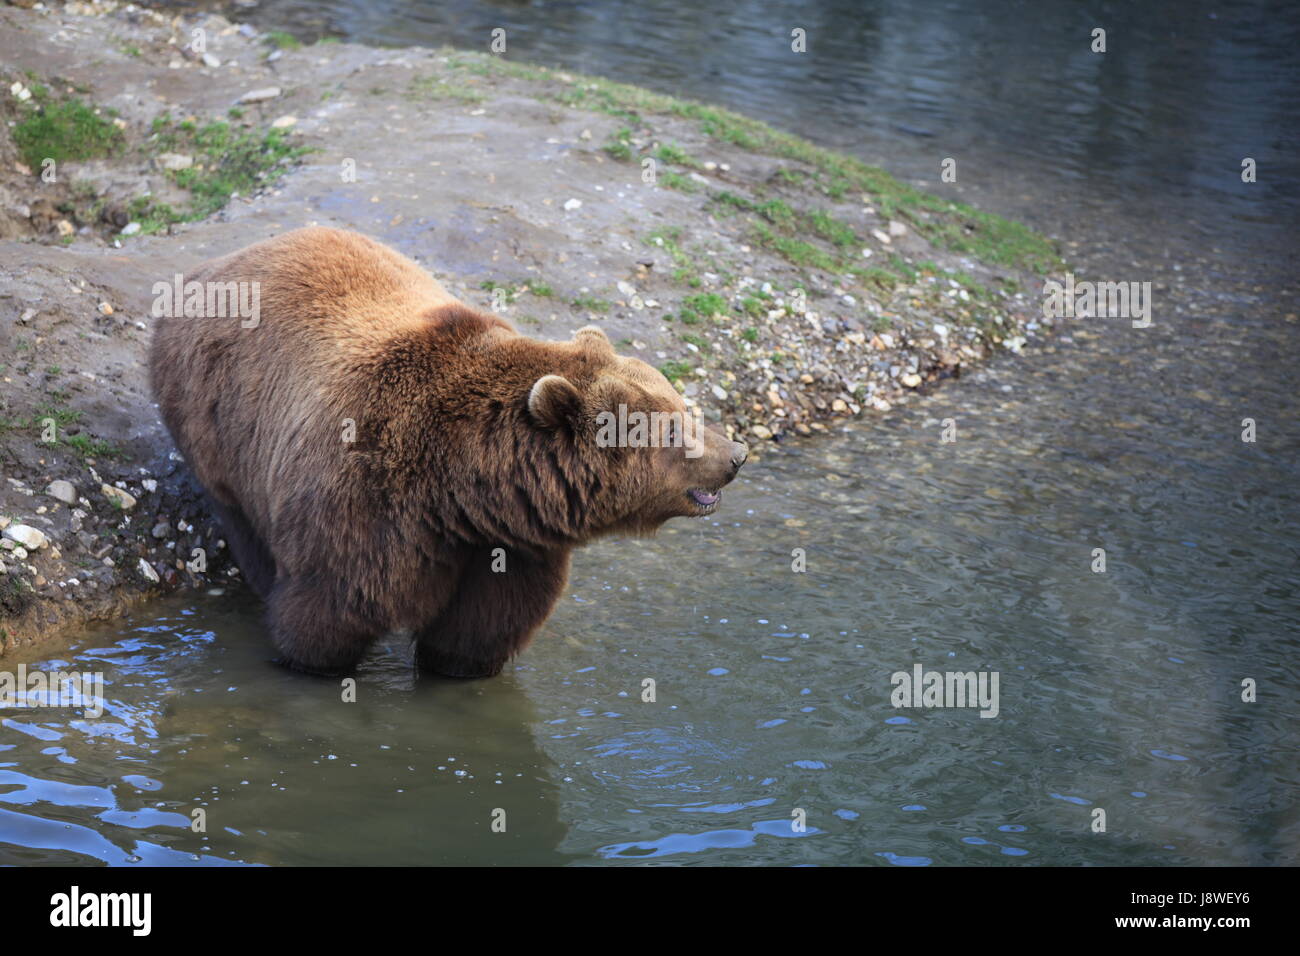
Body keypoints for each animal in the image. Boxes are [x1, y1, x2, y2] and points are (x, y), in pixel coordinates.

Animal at [149, 227, 748, 678]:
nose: (737, 454)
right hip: (214, 422)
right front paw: (307, 662)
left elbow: (475, 638)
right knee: (244, 521)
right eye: (669, 429)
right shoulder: (359, 507)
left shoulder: (511, 549)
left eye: (682, 404)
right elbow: (327, 617)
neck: (460, 492)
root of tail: (212, 264)